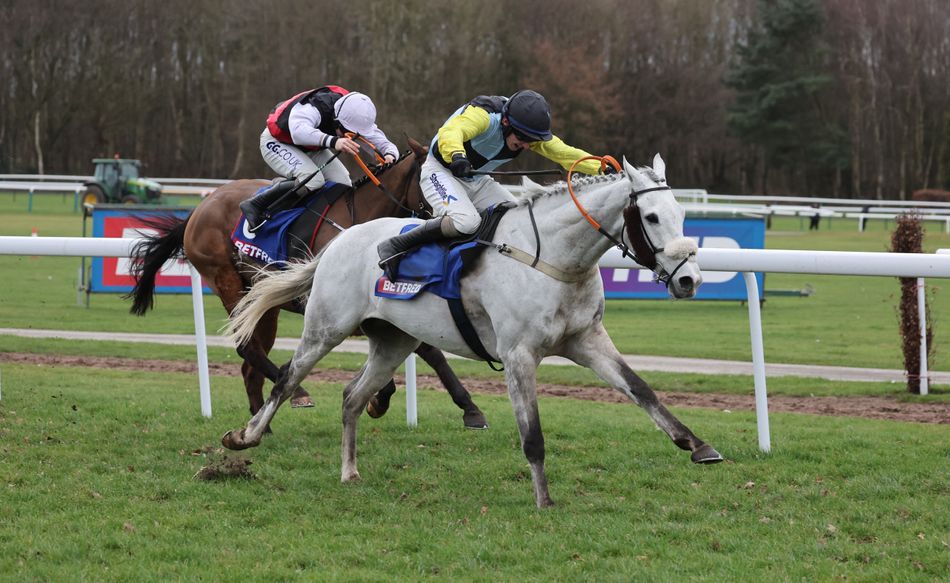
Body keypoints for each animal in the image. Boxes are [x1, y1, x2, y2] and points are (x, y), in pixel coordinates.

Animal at [125, 139, 488, 429]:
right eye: (437, 182)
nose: (474, 220)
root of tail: (198, 209)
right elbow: (417, 350)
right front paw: (380, 397)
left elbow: (430, 350)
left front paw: (468, 408)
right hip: (228, 283)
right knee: (246, 347)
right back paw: (297, 393)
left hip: (263, 301)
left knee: (250, 362)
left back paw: (261, 422)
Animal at [220, 153, 723, 507]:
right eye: (651, 217)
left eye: (680, 213)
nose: (688, 280)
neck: (552, 258)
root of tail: (340, 239)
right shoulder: (519, 354)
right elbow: (532, 433)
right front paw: (543, 498)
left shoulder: (587, 341)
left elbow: (641, 390)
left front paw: (697, 444)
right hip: (327, 325)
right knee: (288, 379)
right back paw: (245, 436)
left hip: (392, 340)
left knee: (352, 397)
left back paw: (349, 471)